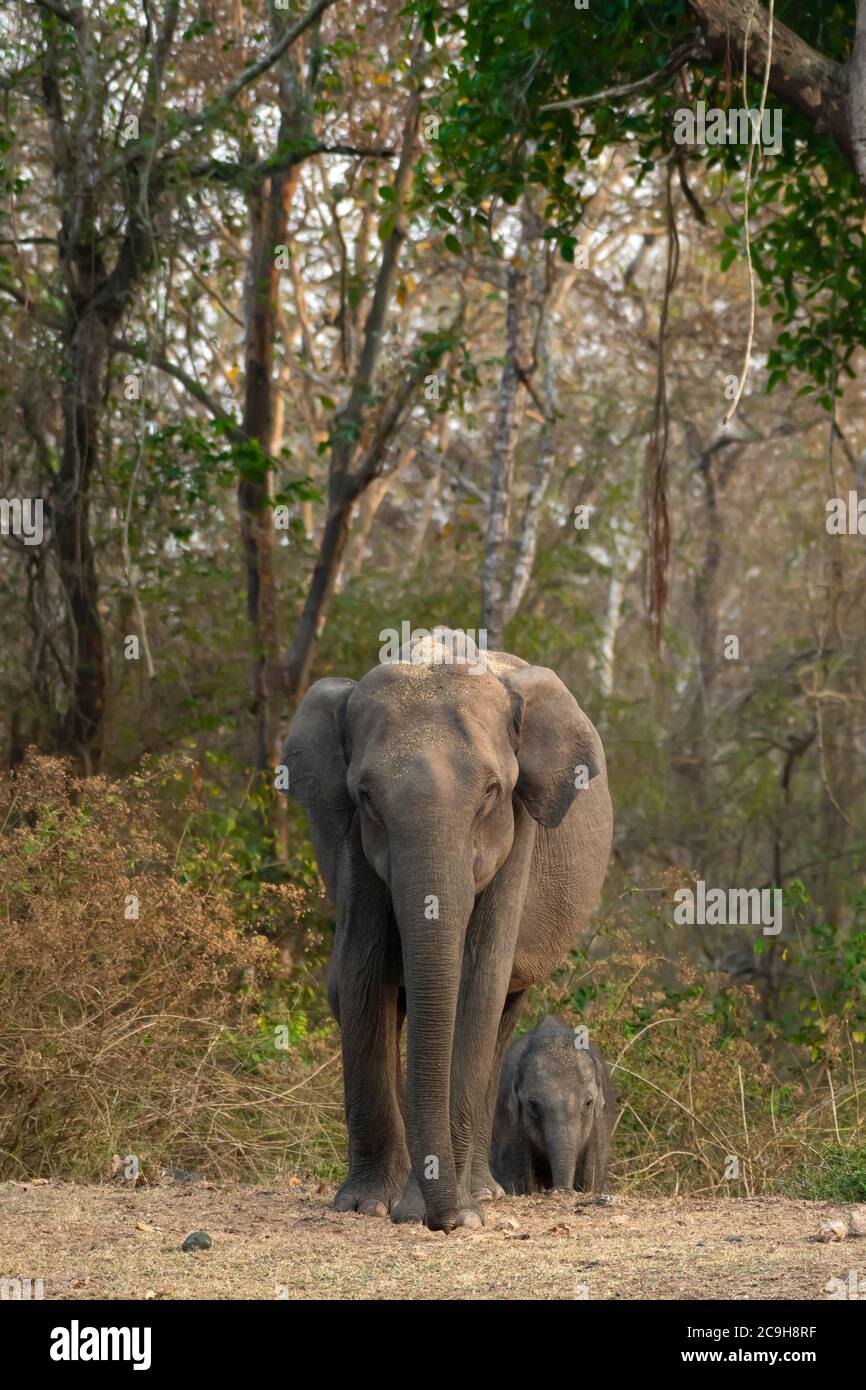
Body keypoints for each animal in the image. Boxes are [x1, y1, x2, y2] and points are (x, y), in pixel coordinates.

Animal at [490, 1015, 614, 1194]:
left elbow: (592, 1177)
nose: (561, 1190)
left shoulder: (600, 1125)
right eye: (533, 1104)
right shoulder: (509, 1119)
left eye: (588, 1103)